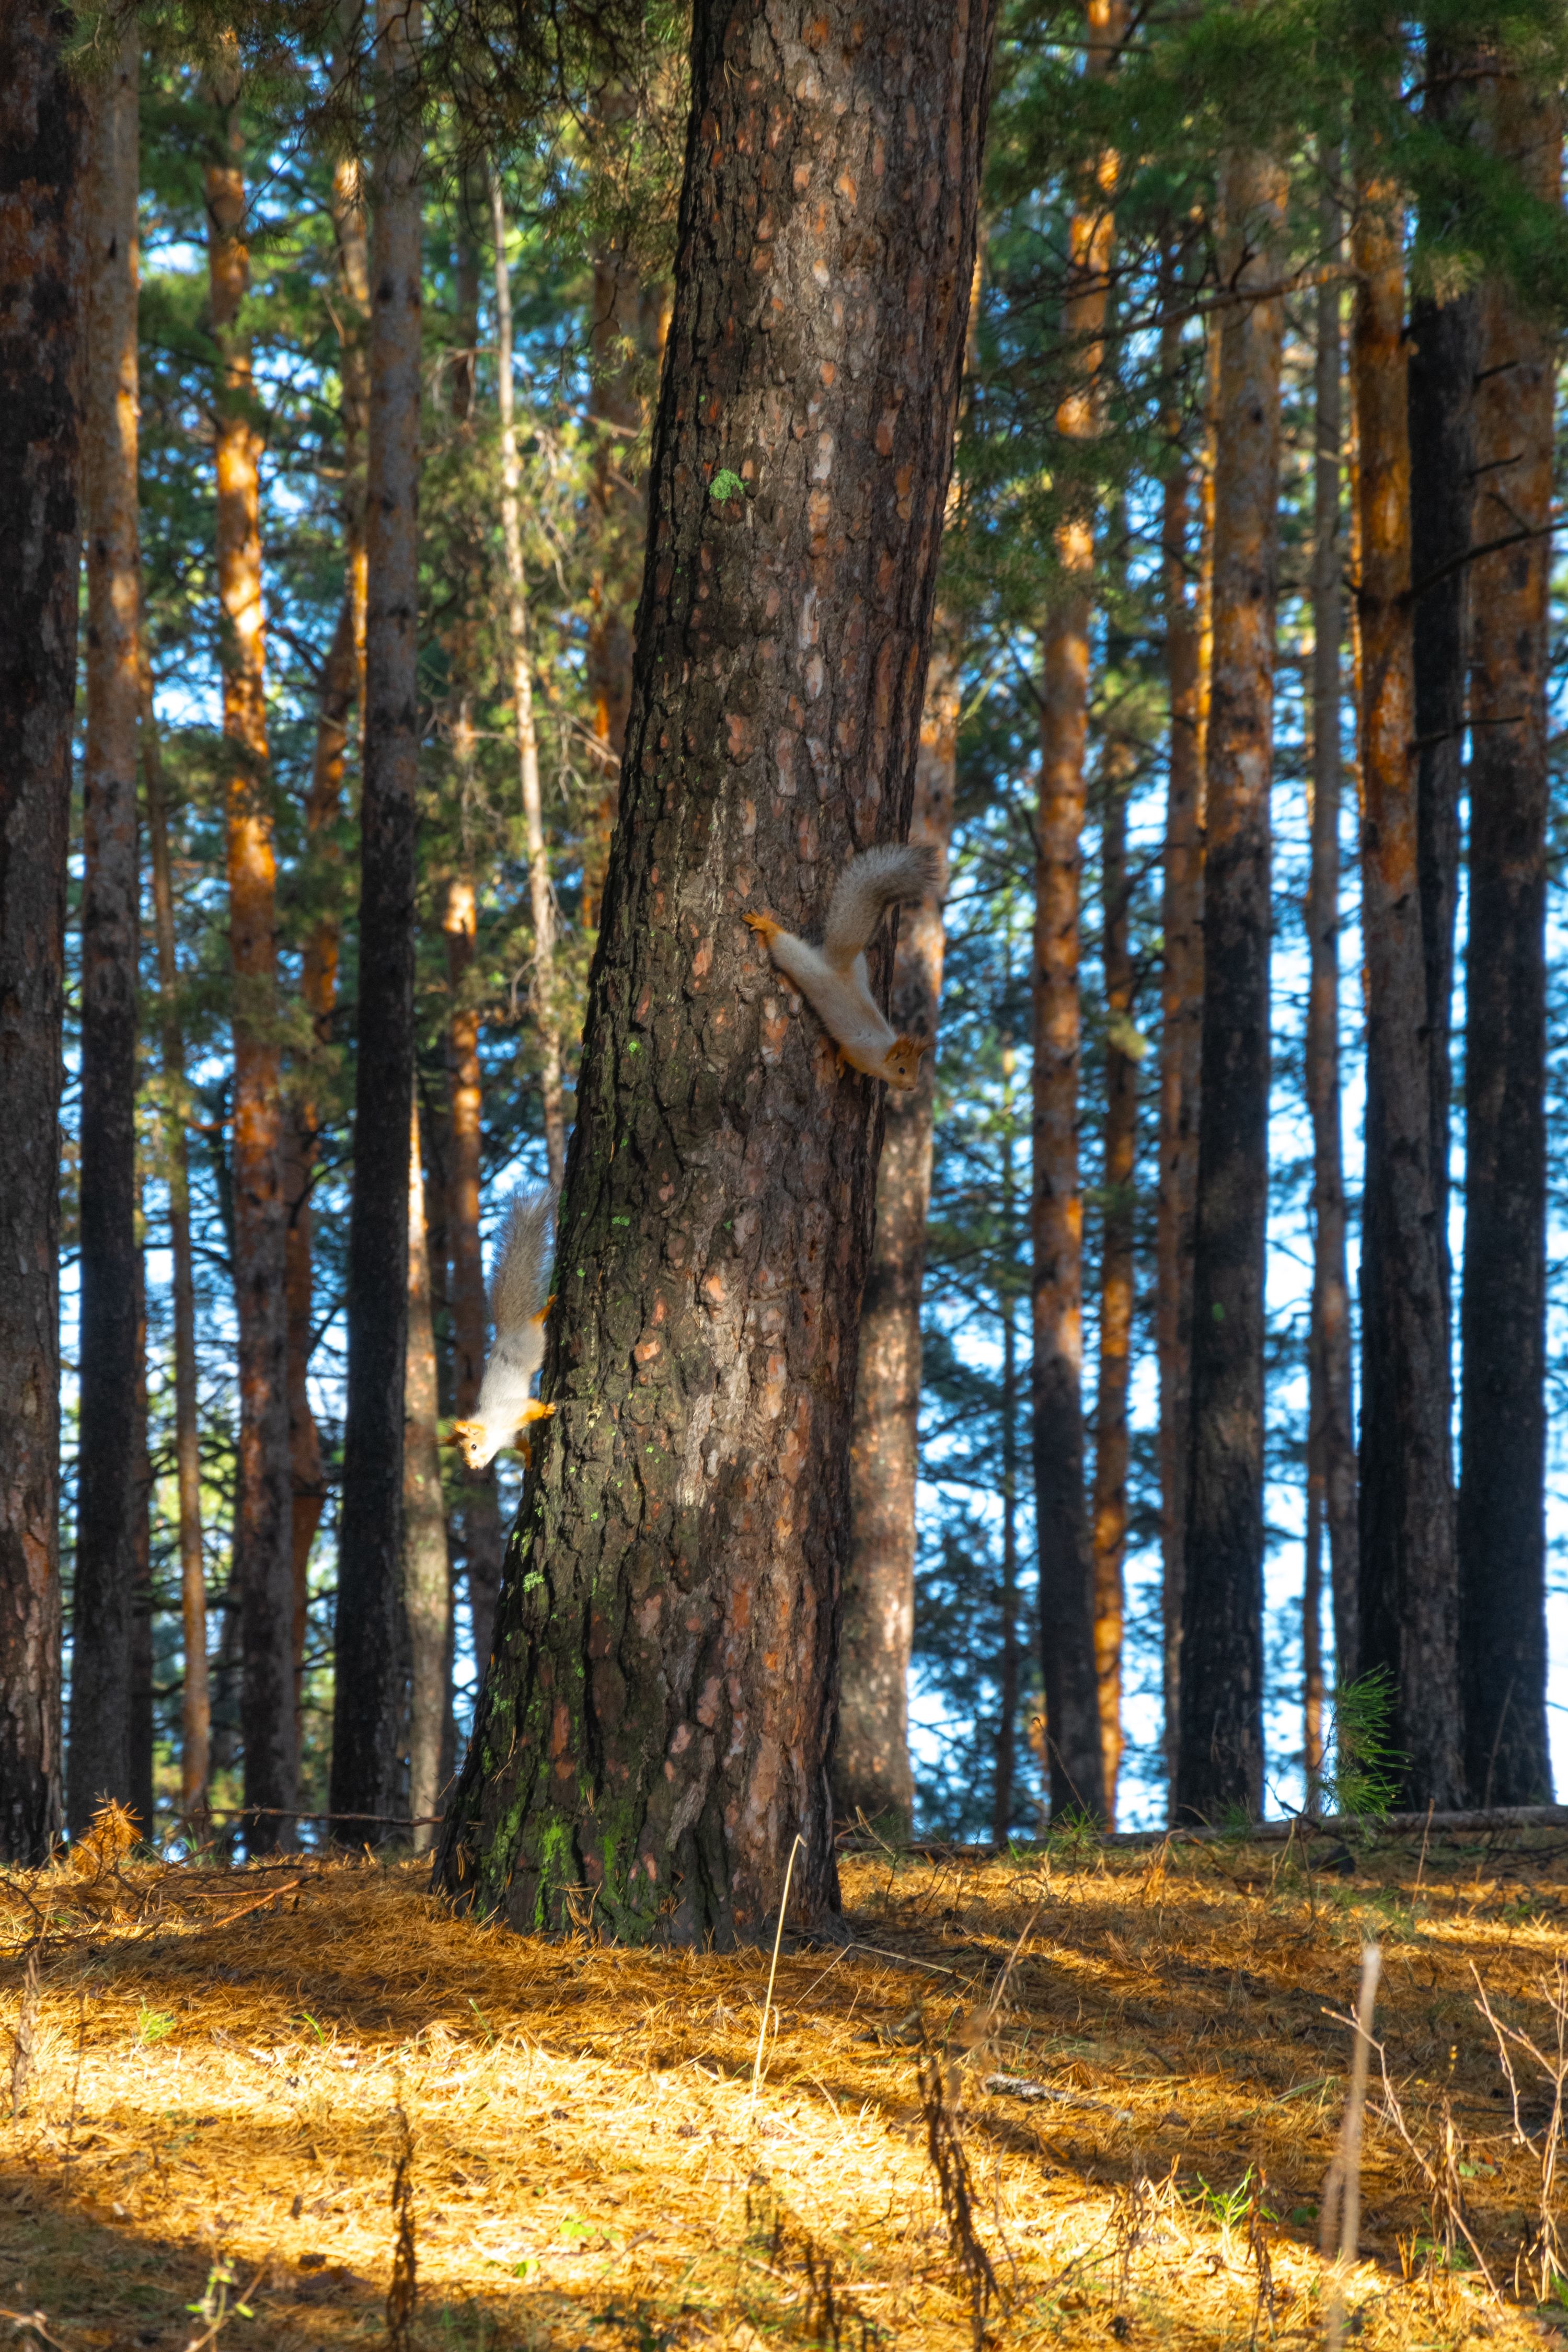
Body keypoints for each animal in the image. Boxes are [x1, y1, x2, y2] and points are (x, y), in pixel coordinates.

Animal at [445, 1184, 557, 1471]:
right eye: (463, 1456)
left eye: (474, 1446)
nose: (474, 1467)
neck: (494, 1430)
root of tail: (507, 1333)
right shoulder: (511, 1437)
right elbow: (522, 1444)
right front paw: (528, 1457)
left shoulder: (512, 1412)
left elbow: (531, 1407)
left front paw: (546, 1411)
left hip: (532, 1345)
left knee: (536, 1326)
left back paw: (544, 1311)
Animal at [743, 841, 940, 1091]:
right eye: (902, 1070)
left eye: (916, 1070)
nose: (911, 1087)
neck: (882, 1051)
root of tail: (839, 964)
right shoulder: (860, 1052)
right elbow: (846, 1053)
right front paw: (840, 1062)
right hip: (805, 967)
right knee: (785, 949)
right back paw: (768, 927)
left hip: (860, 967)